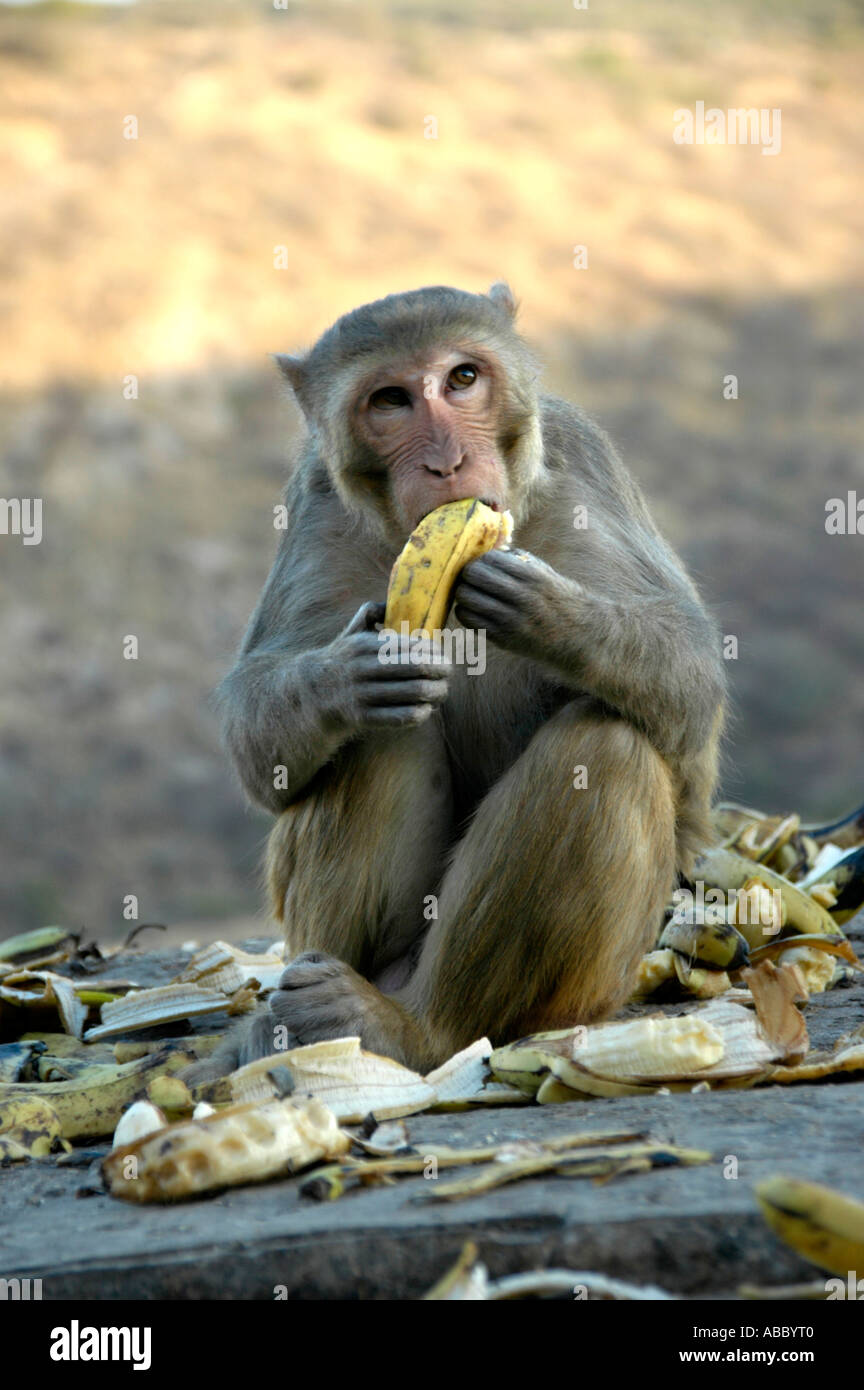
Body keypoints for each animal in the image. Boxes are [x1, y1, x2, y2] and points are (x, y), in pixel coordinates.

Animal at [187, 281, 726, 1084]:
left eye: (463, 379)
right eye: (391, 400)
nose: (447, 462)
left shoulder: (582, 461)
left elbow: (692, 679)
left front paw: (549, 614)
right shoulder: (315, 500)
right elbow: (264, 752)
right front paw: (347, 679)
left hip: (596, 987)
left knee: (605, 748)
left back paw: (419, 1031)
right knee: (382, 736)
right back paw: (326, 1029)